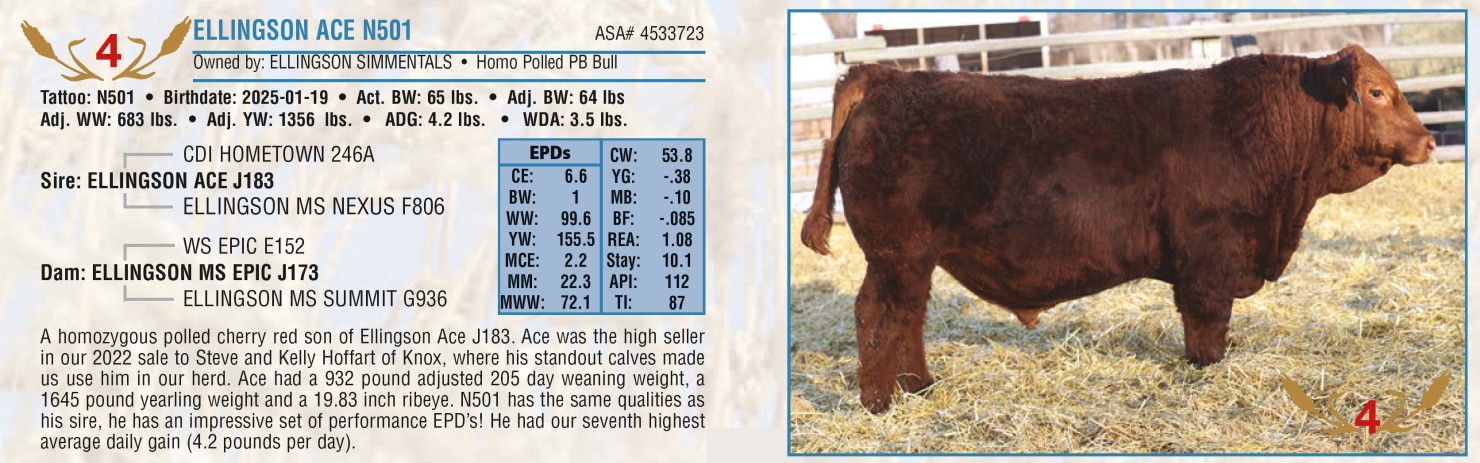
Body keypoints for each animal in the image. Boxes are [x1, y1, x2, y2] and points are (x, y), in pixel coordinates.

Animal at [799, 44, 1435, 413]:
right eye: (1377, 92)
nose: (1429, 141)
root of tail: (886, 77)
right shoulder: (1209, 258)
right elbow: (1208, 327)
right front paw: (1206, 373)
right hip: (897, 253)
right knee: (878, 314)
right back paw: (879, 401)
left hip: (914, 258)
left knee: (909, 314)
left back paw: (920, 387)